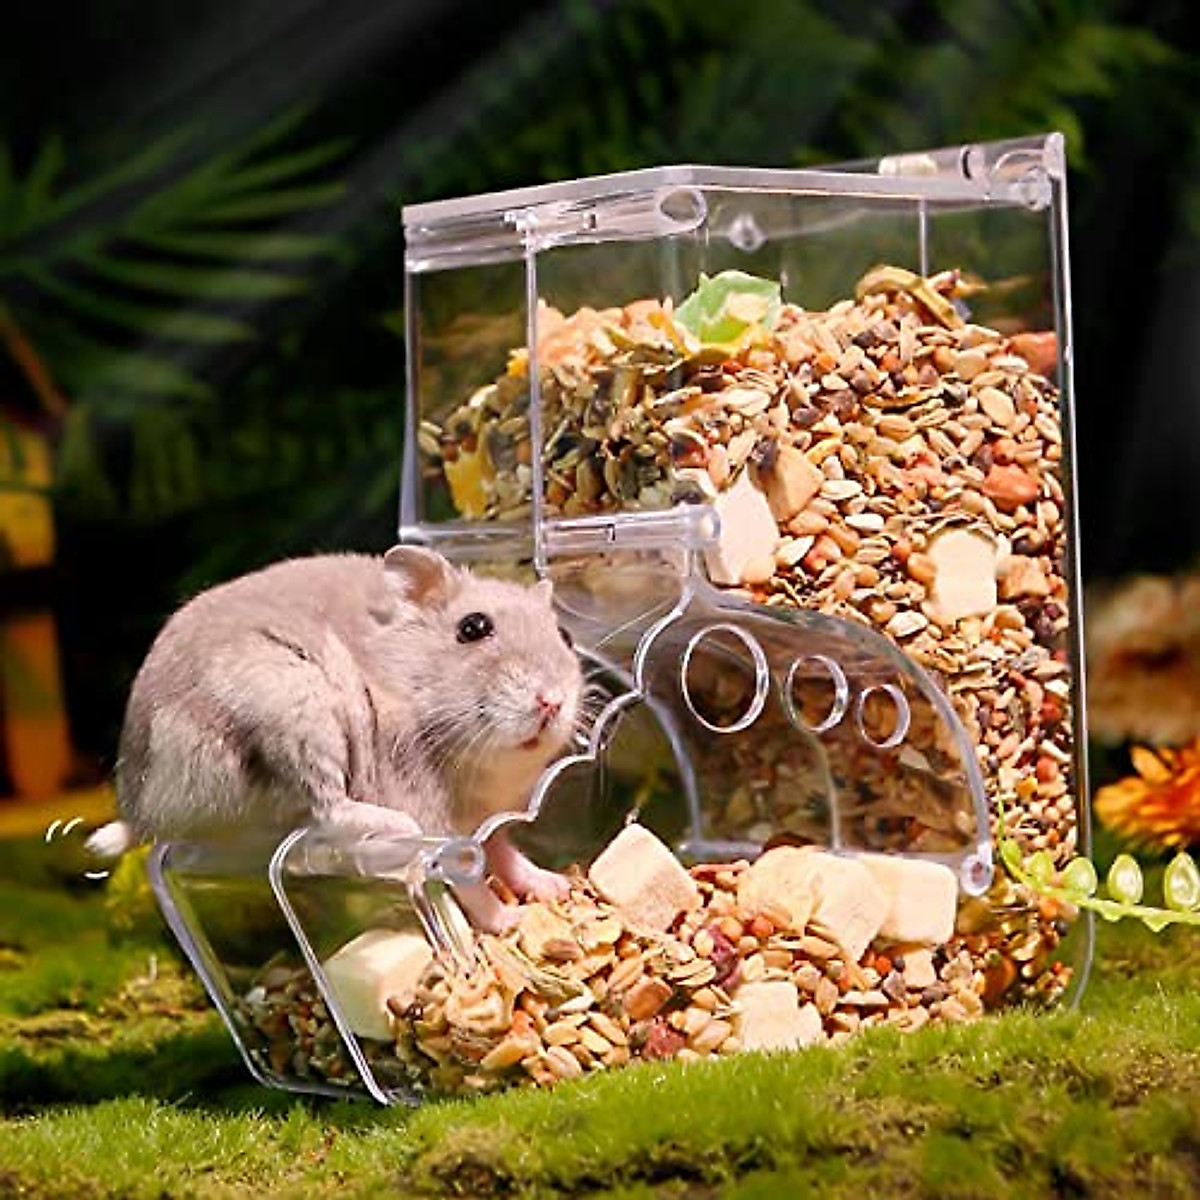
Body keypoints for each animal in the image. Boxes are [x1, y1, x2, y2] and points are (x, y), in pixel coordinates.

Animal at [86, 545, 583, 924]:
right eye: (473, 627)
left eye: (565, 635)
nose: (552, 702)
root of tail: (140, 810)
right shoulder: (441, 827)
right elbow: (472, 882)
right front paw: (512, 920)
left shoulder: (487, 820)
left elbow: (505, 851)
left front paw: (556, 886)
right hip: (300, 715)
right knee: (329, 807)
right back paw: (395, 827)